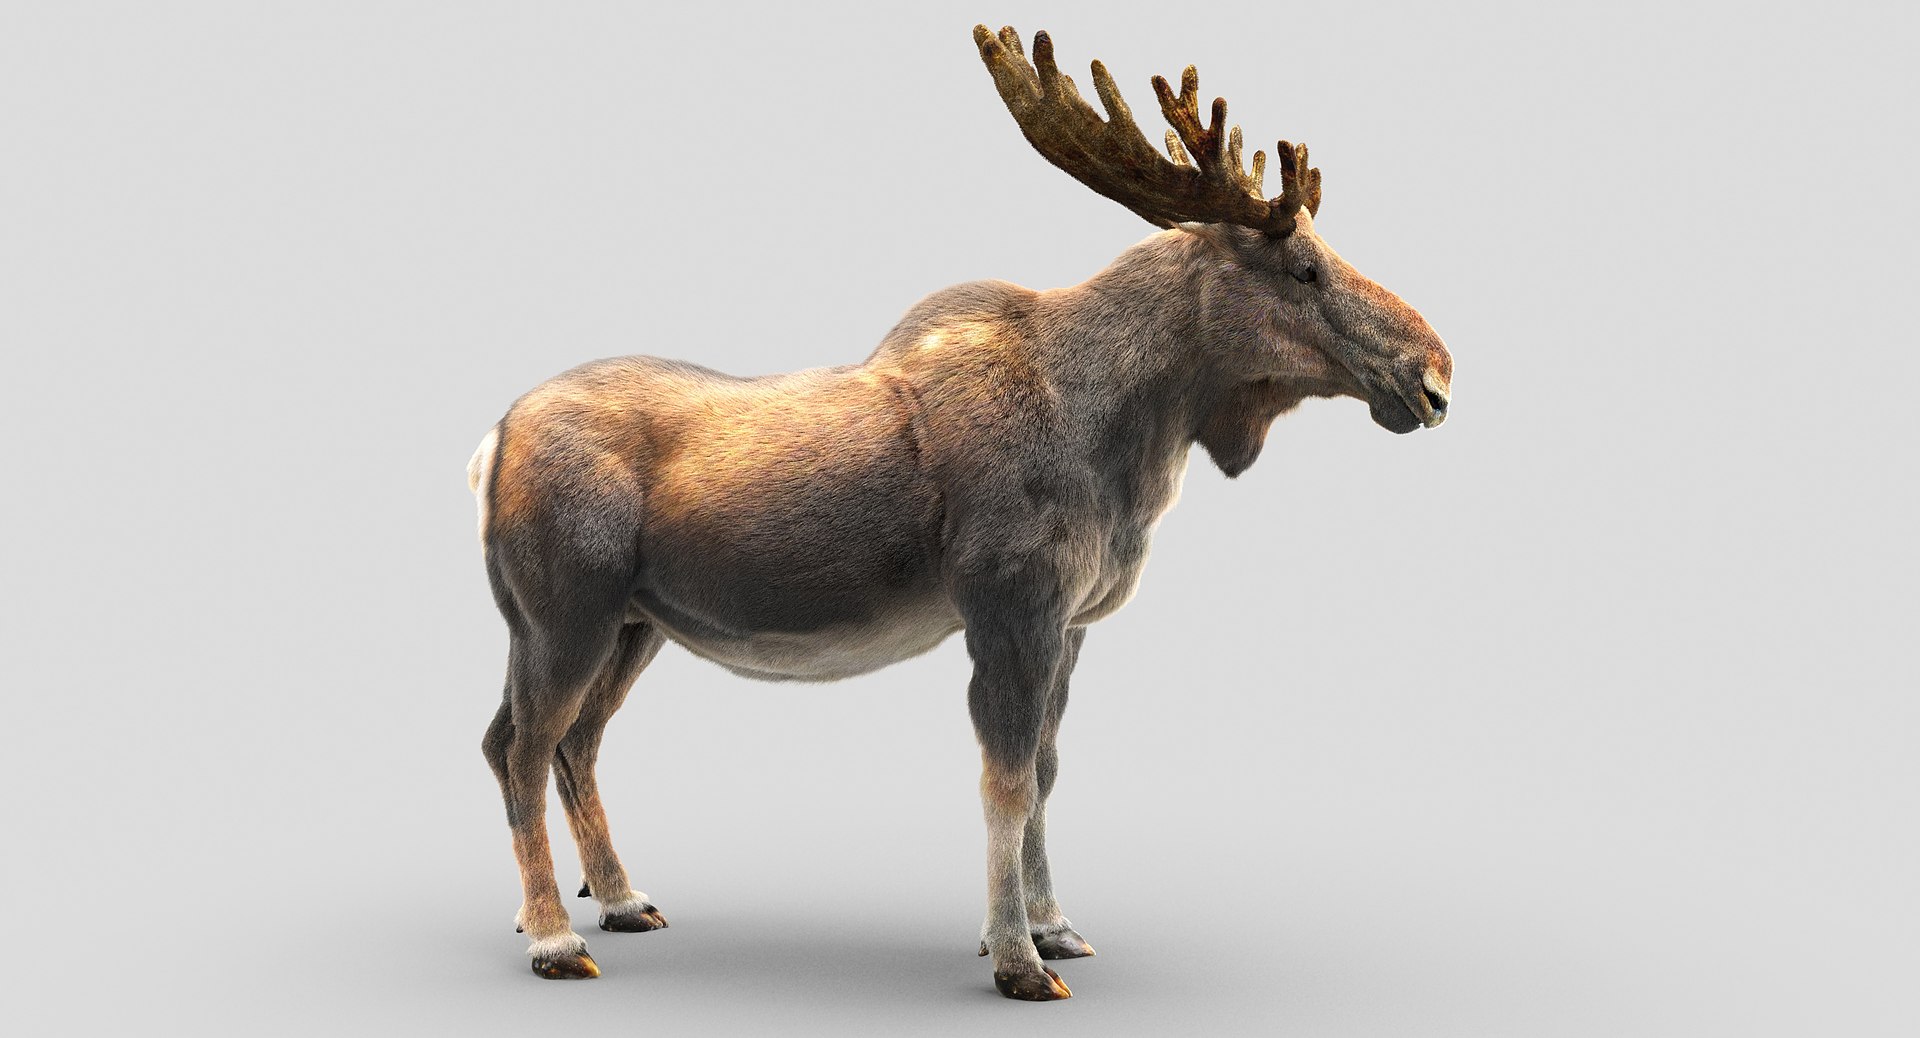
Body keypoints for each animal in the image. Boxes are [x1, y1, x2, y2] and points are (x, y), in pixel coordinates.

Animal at [468, 24, 1453, 1001]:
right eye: (1302, 266)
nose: (1436, 375)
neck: (1128, 439)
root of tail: (489, 447)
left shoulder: (1073, 620)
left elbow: (1048, 772)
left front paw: (1055, 927)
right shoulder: (1010, 603)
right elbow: (1007, 782)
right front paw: (1016, 957)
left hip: (636, 623)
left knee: (573, 742)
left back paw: (618, 899)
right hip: (563, 612)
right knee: (518, 743)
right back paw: (554, 936)